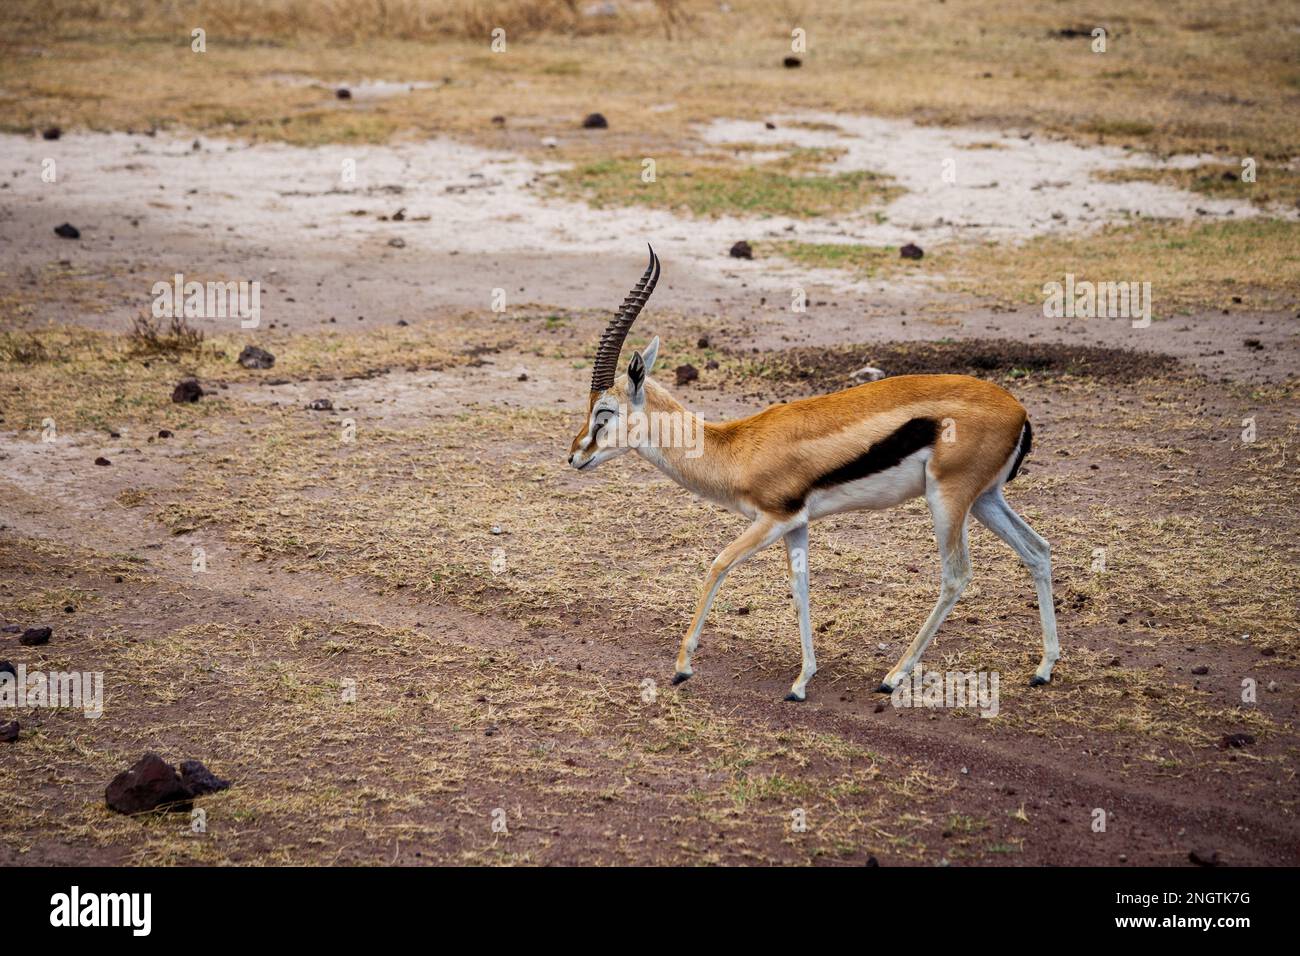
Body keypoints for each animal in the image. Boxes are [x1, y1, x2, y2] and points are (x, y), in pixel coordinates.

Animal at [568, 248, 1060, 702]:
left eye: (603, 412)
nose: (574, 456)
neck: (736, 449)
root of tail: (1019, 411)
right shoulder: (796, 524)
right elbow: (800, 588)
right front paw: (802, 681)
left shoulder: (771, 518)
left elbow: (719, 563)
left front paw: (683, 666)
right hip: (985, 499)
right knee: (1037, 550)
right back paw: (1043, 669)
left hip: (949, 499)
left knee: (956, 575)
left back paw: (893, 677)